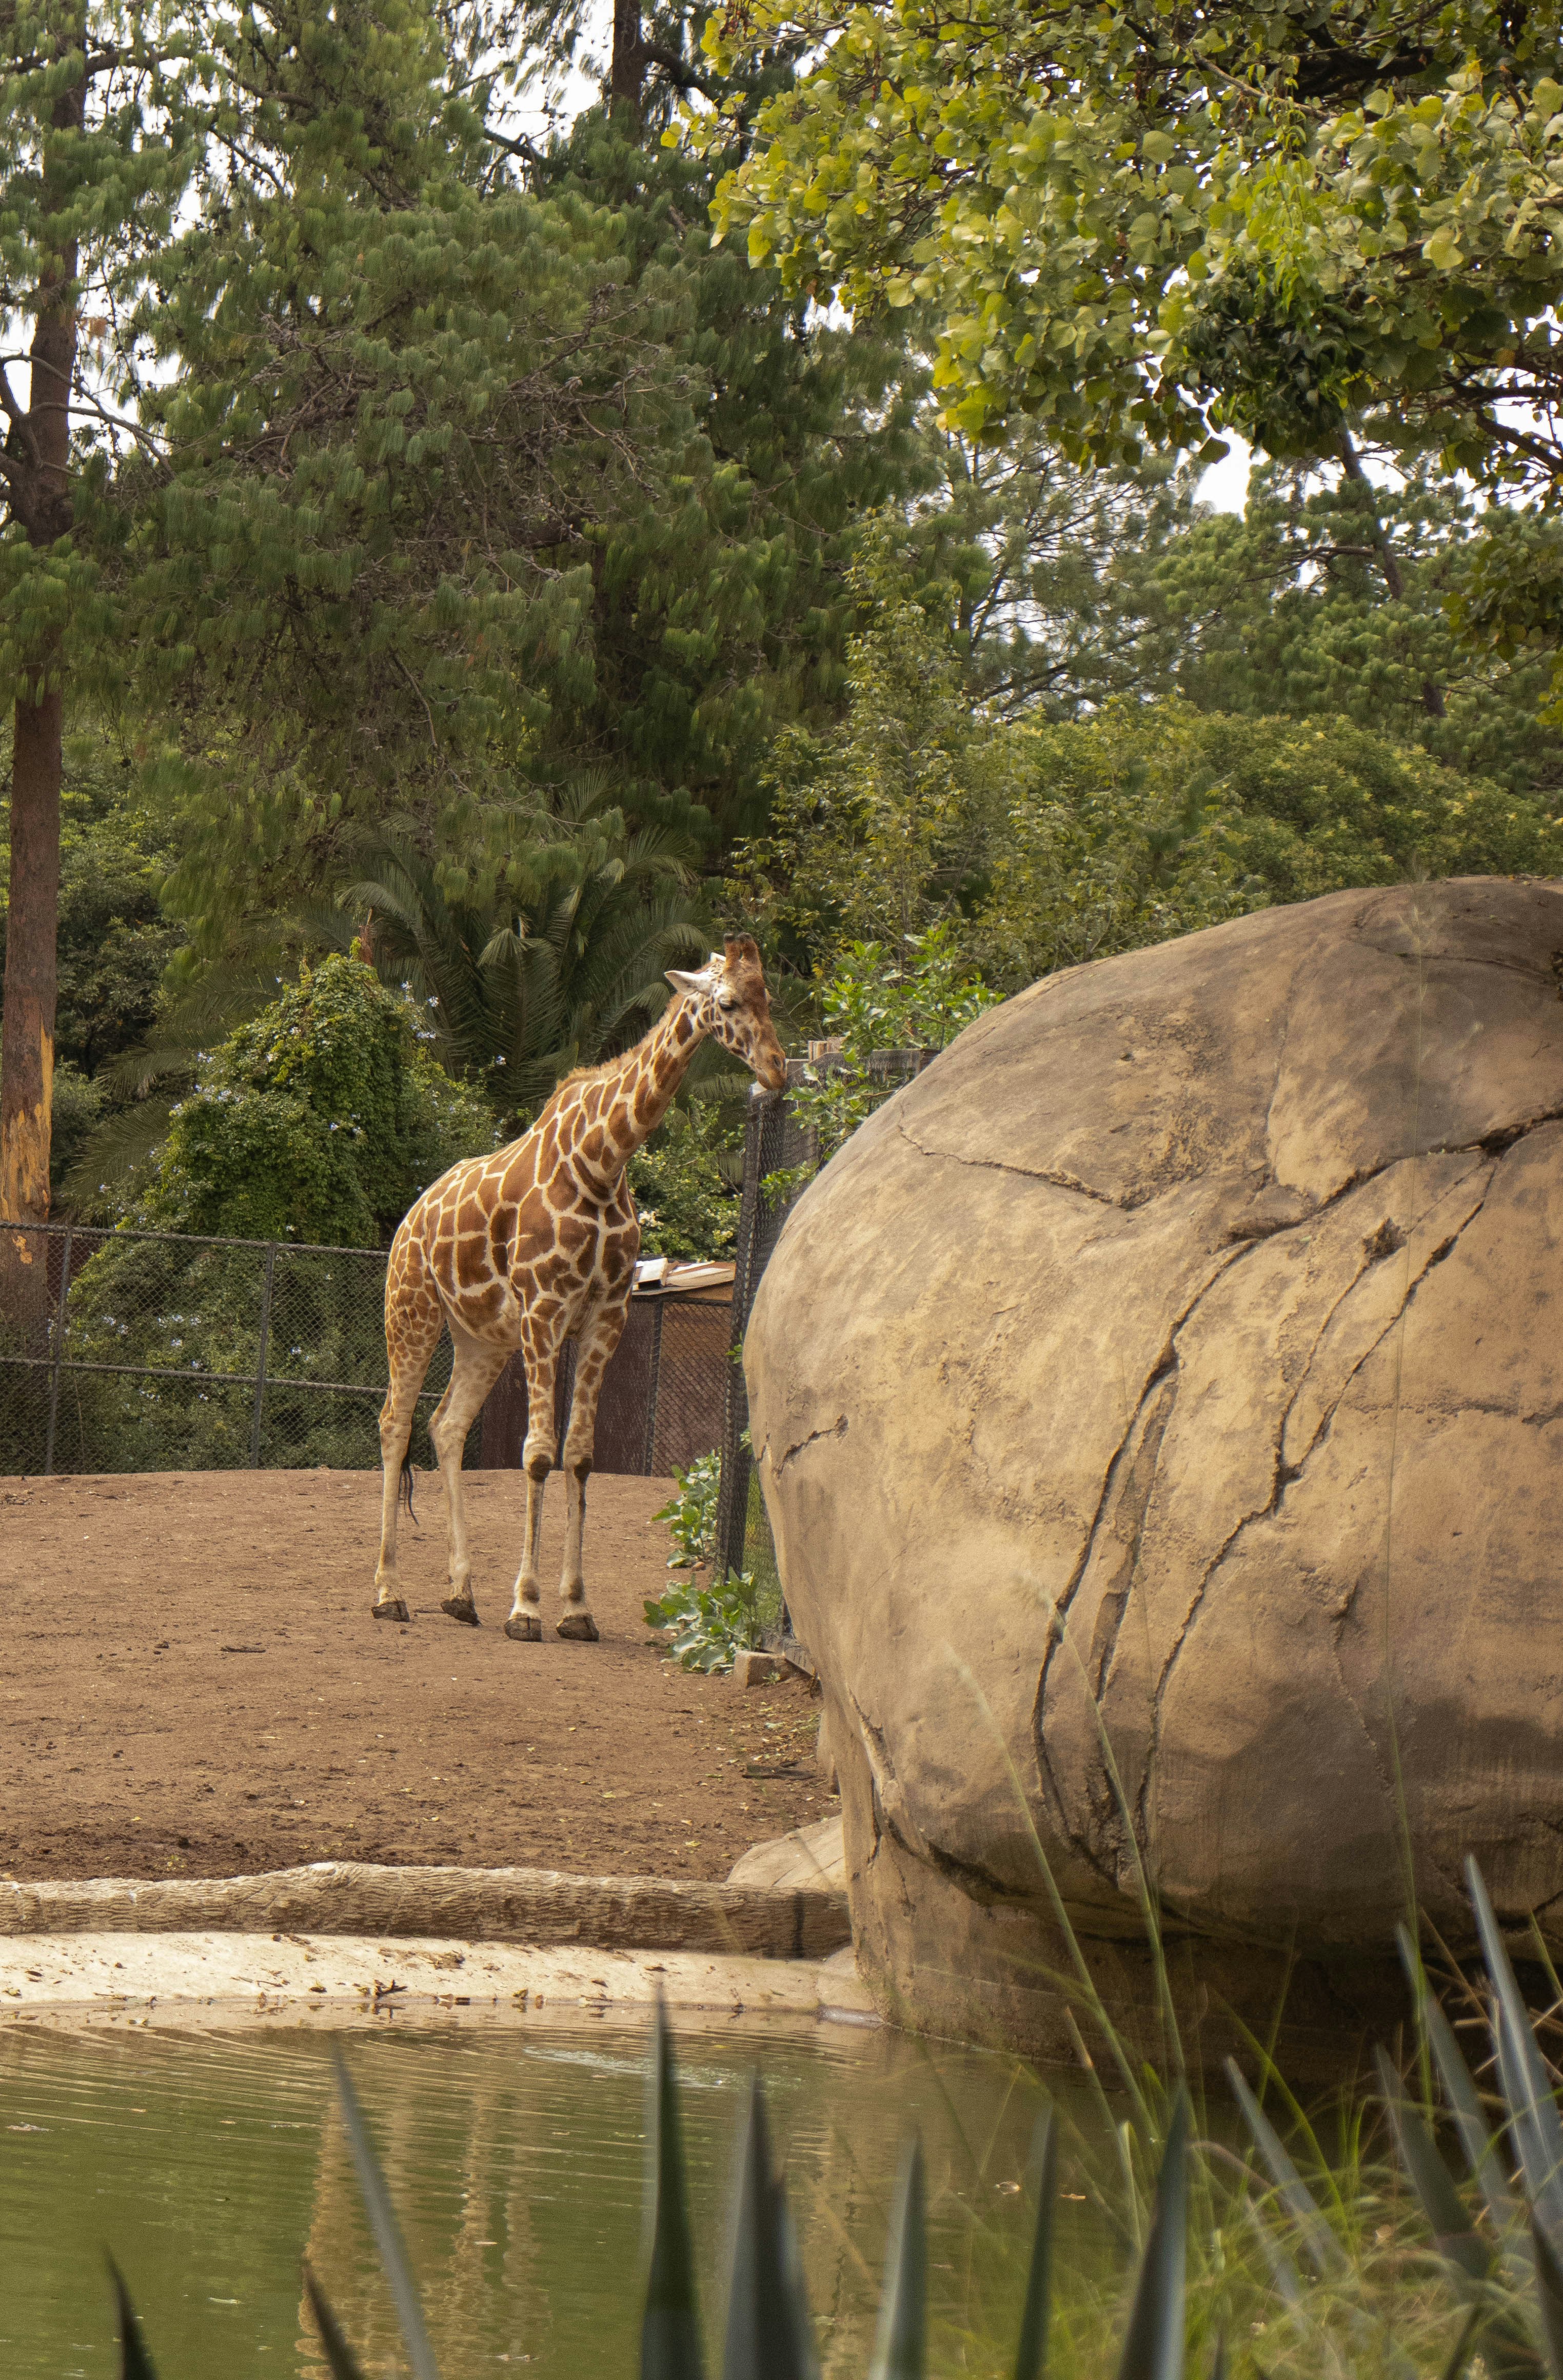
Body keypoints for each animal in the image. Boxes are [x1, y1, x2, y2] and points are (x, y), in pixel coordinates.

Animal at [371, 935, 788, 1640]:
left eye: (768, 996)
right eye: (729, 1002)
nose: (779, 1070)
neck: (600, 1162)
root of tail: (410, 1217)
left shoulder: (605, 1315)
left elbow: (581, 1455)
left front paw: (575, 1610)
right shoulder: (544, 1308)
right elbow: (538, 1453)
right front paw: (525, 1608)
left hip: (481, 1336)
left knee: (446, 1425)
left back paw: (461, 1596)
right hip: (413, 1311)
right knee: (394, 1423)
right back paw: (388, 1595)